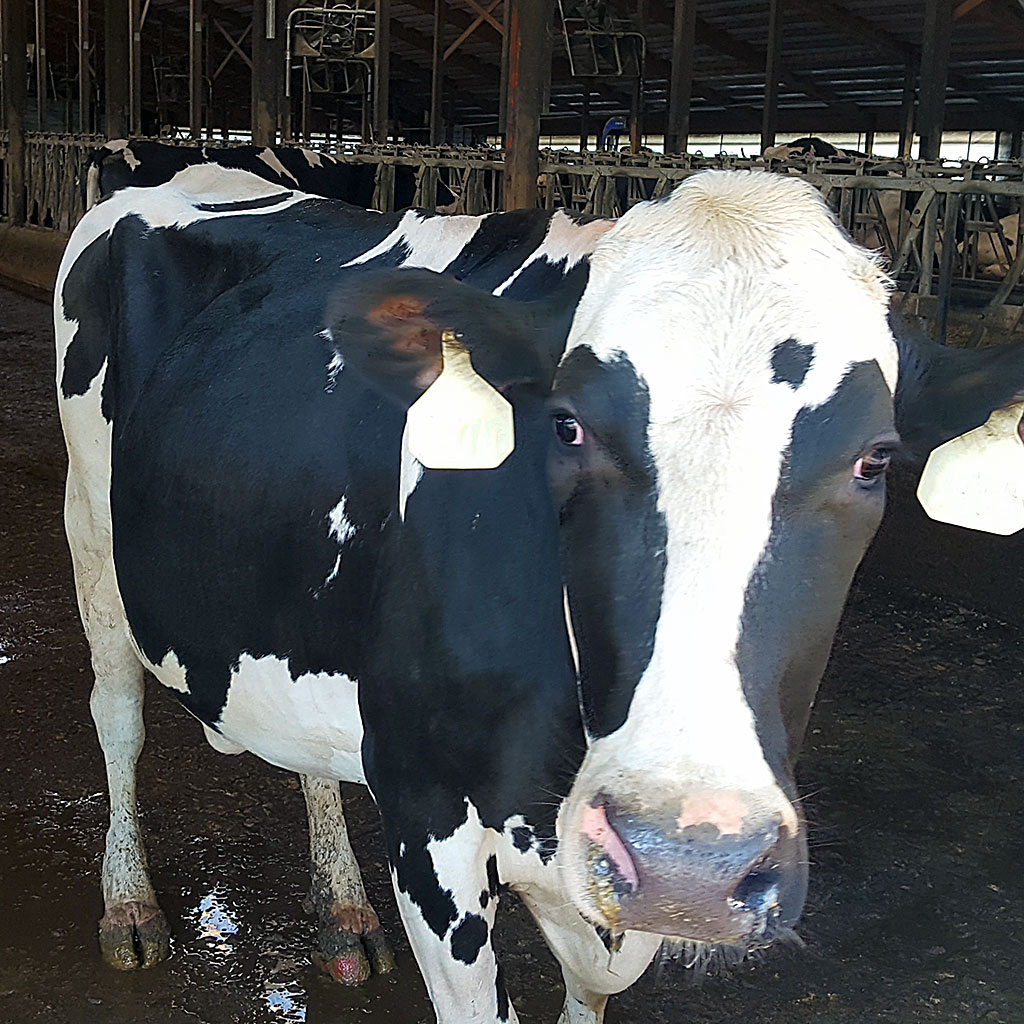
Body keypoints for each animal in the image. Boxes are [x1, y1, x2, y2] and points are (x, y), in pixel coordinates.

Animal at [55, 165, 1024, 1023]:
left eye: (876, 461)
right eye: (566, 426)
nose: (689, 862)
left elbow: (588, 993)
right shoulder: (429, 822)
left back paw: (341, 913)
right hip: (90, 530)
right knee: (117, 714)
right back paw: (129, 904)